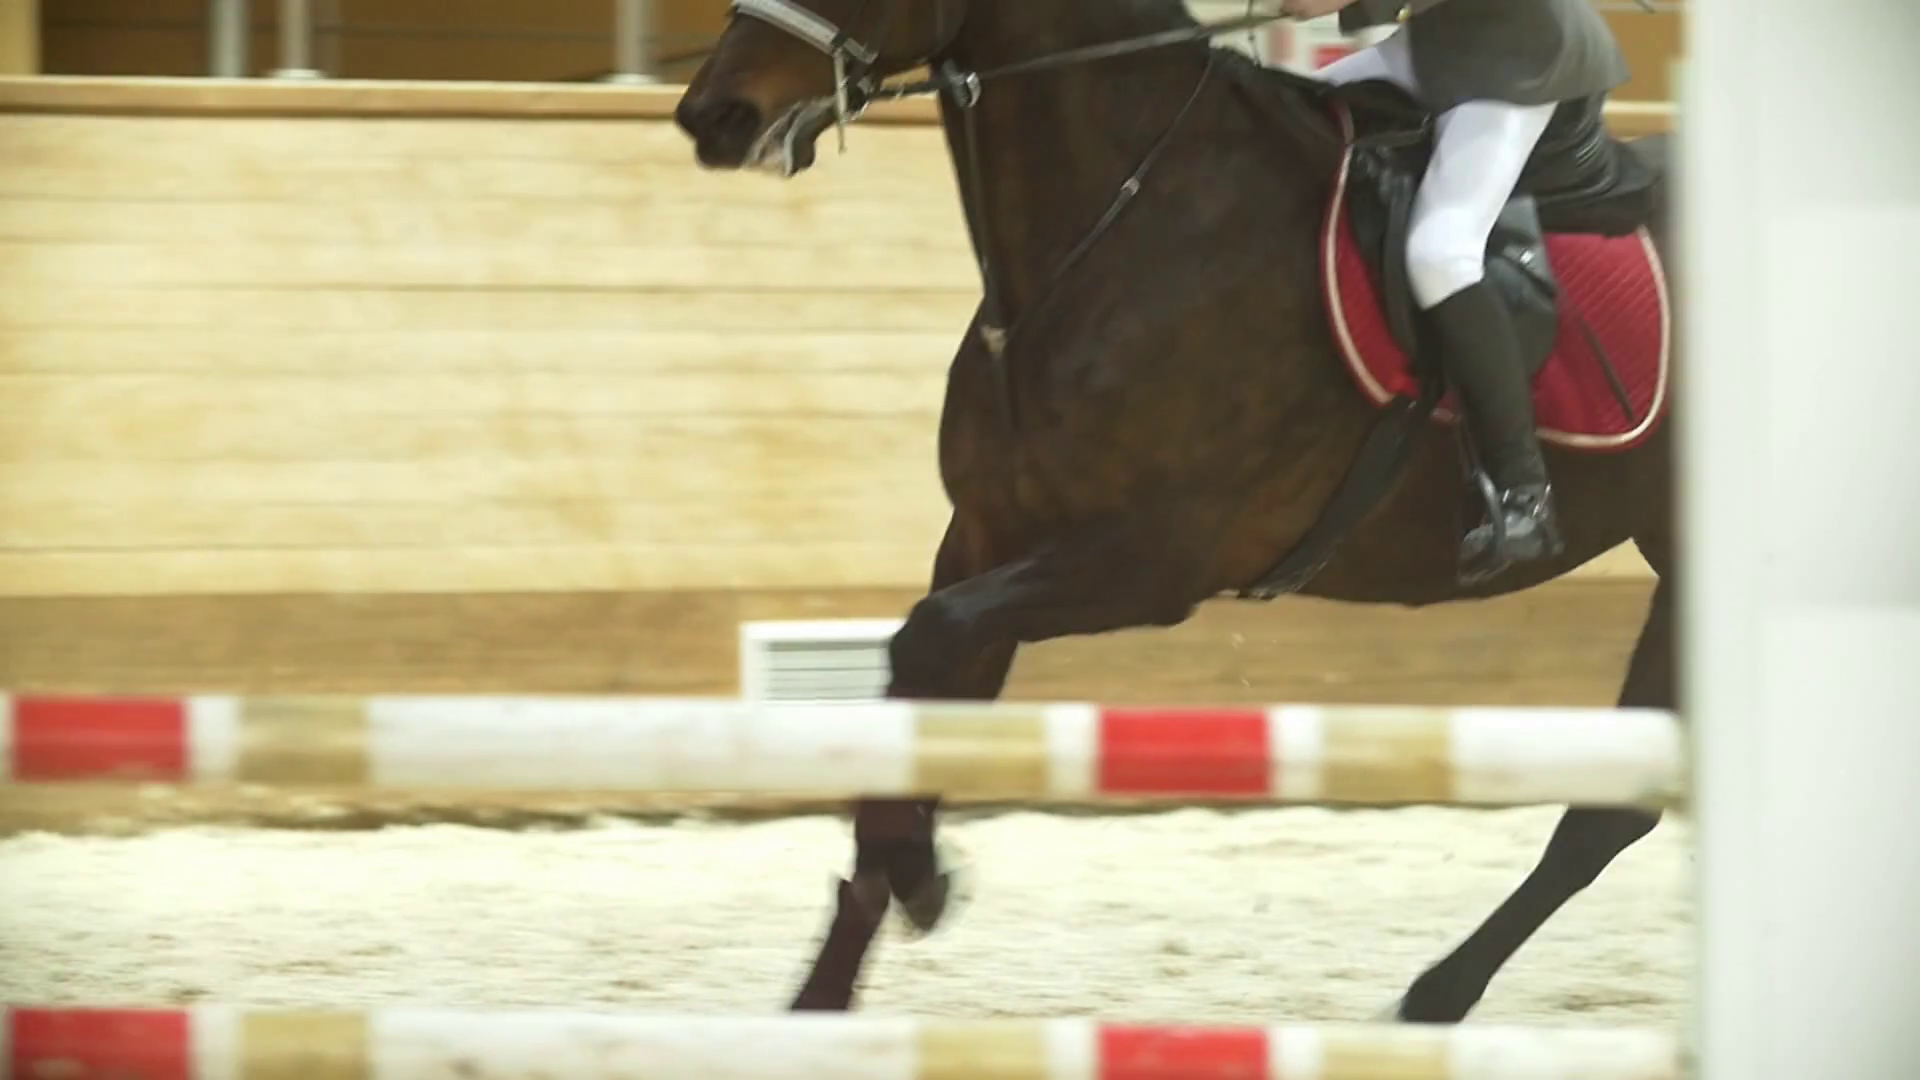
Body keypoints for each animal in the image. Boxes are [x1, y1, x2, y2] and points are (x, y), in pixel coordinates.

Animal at [673, 0, 1678, 1022]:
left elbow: (927, 638)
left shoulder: (1151, 560)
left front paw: (921, 878)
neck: (1132, 219)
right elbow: (919, 684)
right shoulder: (986, 540)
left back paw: (1435, 996)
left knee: (1611, 812)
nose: (712, 114)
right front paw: (829, 986)